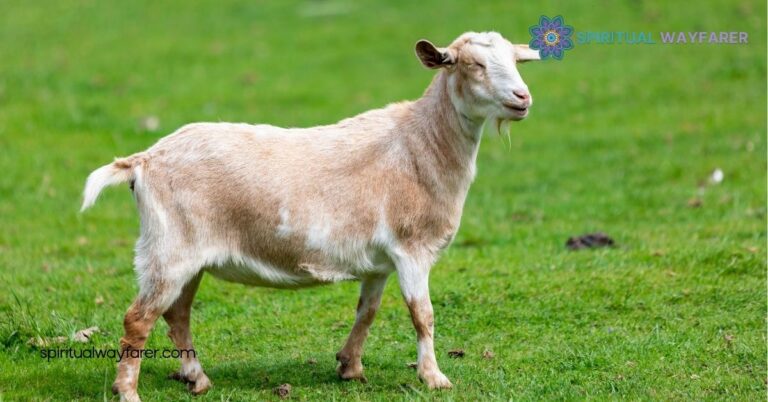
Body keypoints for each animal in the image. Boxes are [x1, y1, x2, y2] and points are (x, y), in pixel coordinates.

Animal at [81, 31, 540, 401]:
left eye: (515, 62)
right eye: (472, 64)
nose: (523, 99)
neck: (422, 144)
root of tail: (144, 160)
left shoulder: (380, 260)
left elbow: (367, 310)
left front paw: (350, 366)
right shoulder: (412, 248)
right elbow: (422, 315)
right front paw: (434, 377)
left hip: (187, 257)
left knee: (176, 315)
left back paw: (197, 379)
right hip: (168, 250)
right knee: (138, 318)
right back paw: (129, 391)